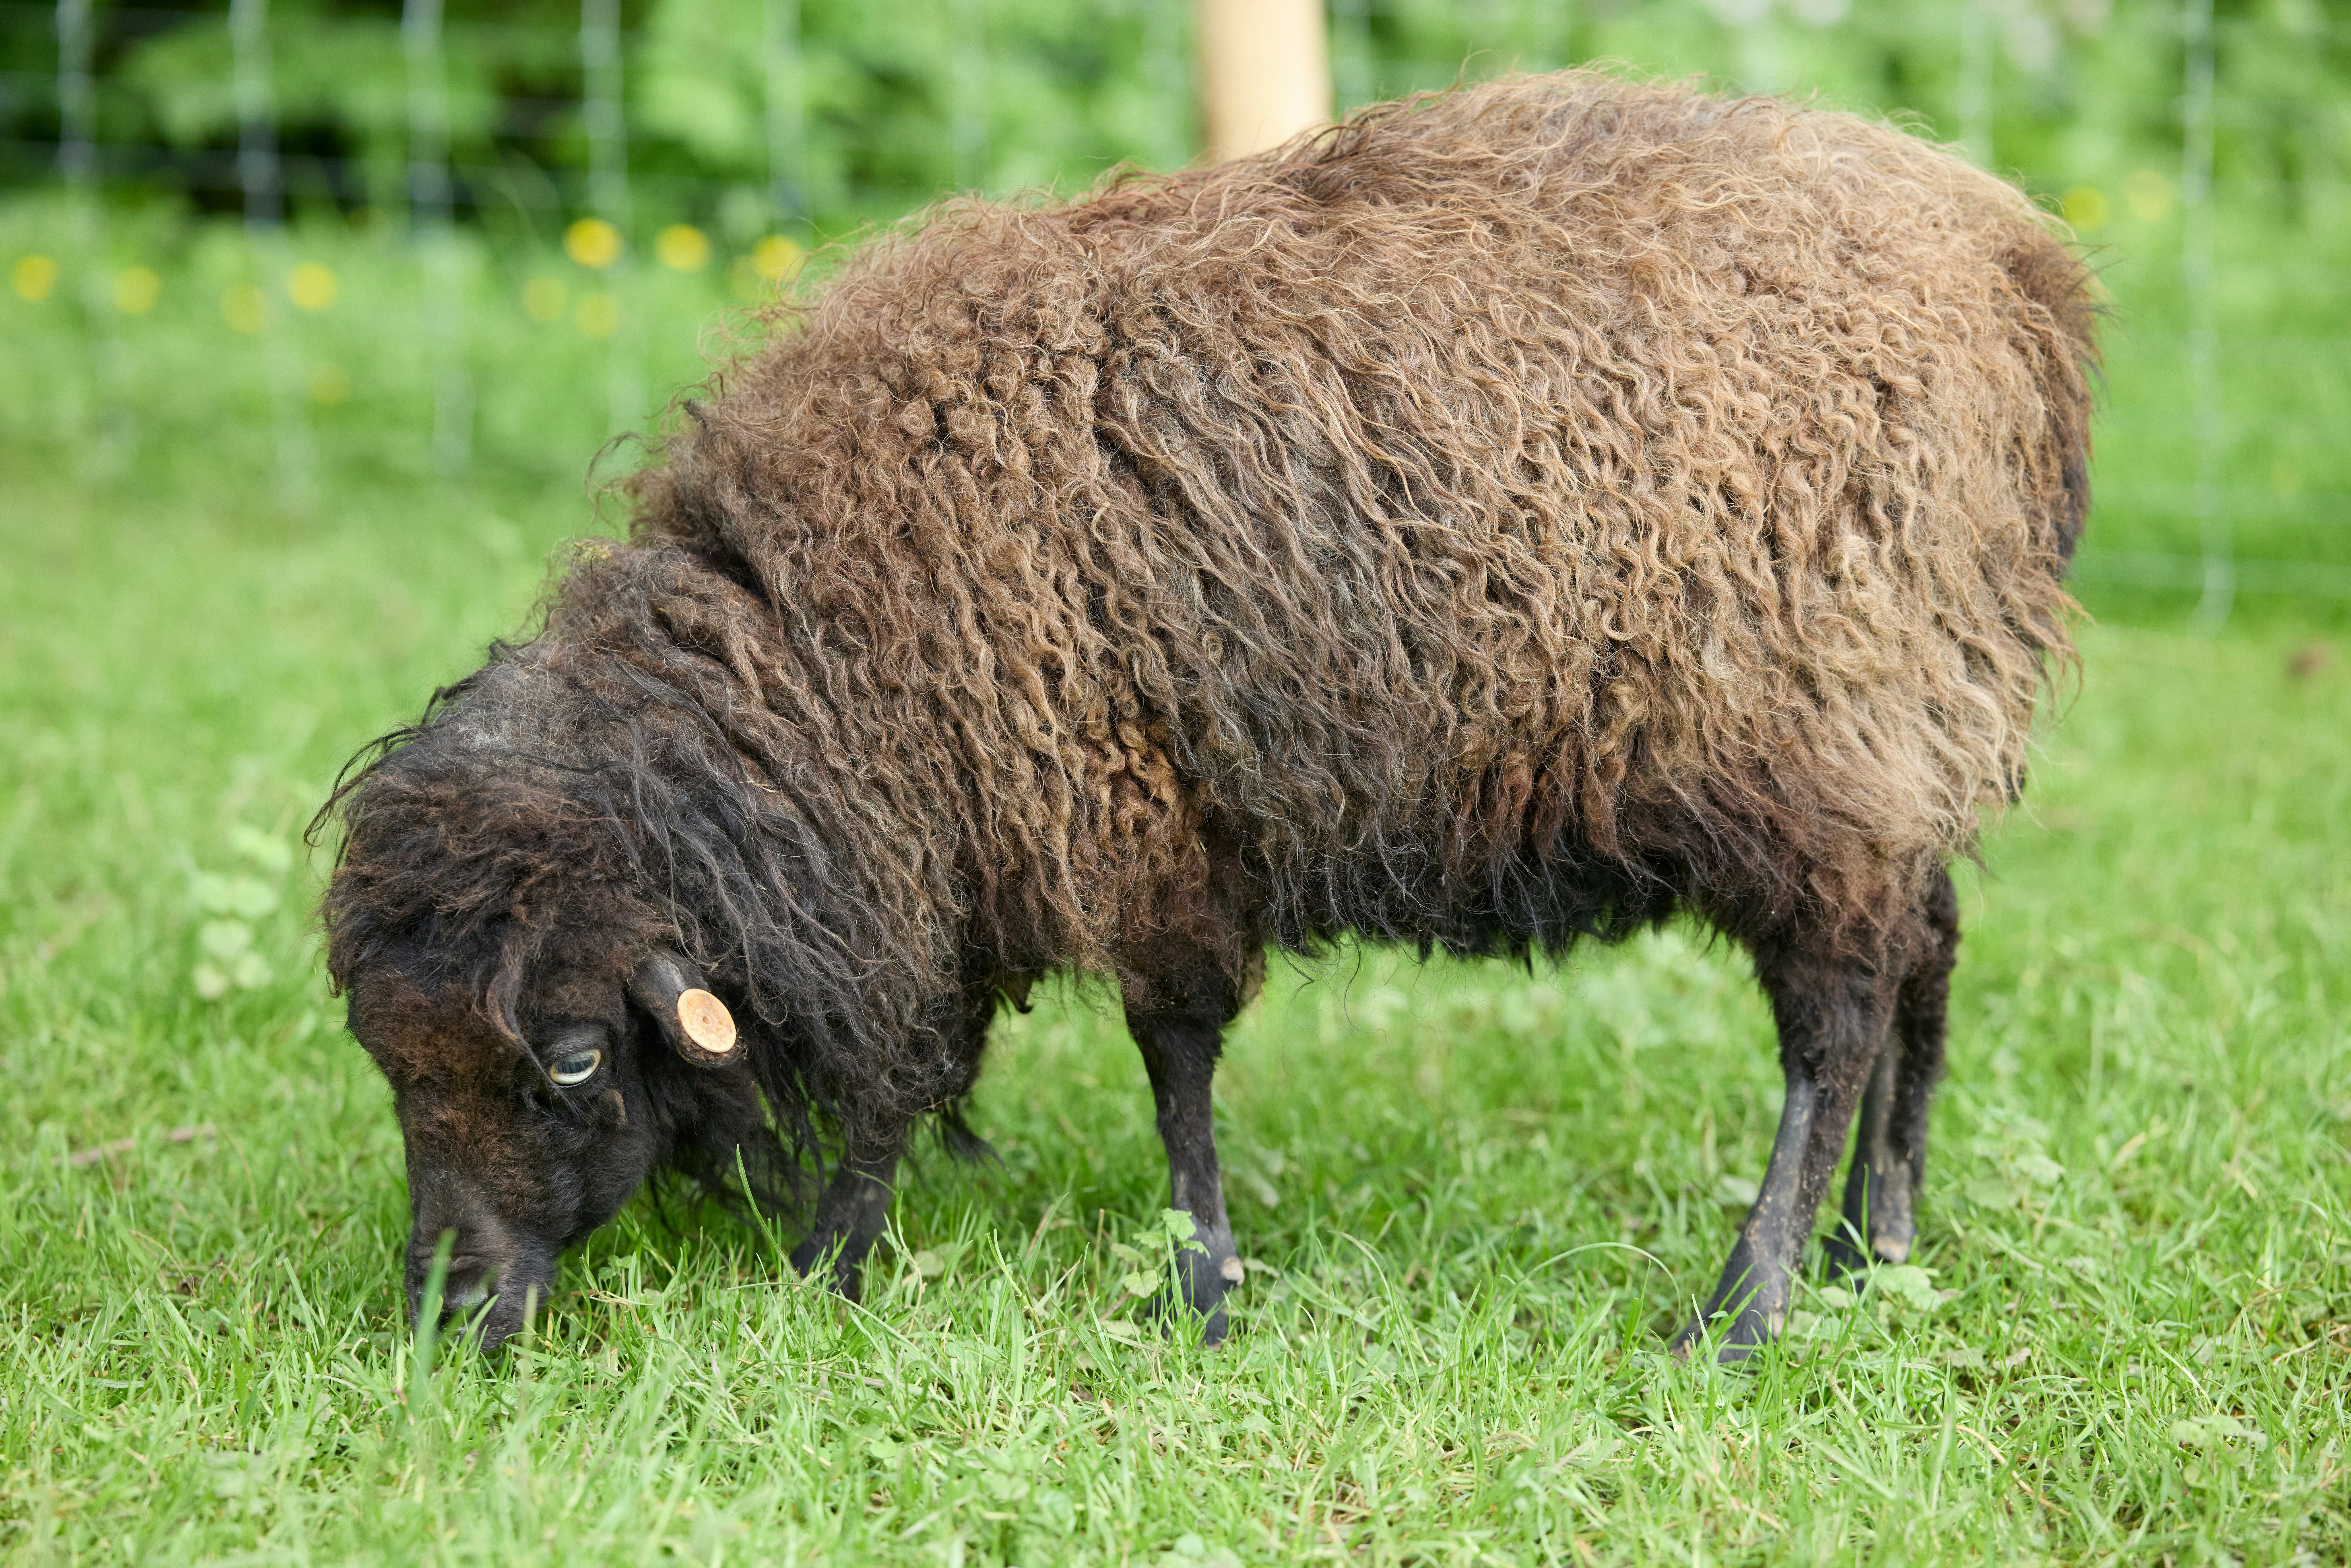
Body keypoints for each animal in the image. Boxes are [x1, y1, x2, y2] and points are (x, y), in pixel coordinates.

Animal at [317, 70, 2097, 1358]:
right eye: (385, 1060)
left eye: (566, 1059)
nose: (447, 1320)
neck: (812, 658)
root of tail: (2008, 261)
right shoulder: (957, 847)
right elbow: (924, 1057)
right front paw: (844, 1257)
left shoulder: (1114, 813)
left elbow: (1142, 1062)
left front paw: (1187, 1283)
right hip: (1905, 735)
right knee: (1929, 961)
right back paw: (1880, 1241)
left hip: (1819, 740)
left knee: (1836, 1017)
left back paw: (1748, 1304)